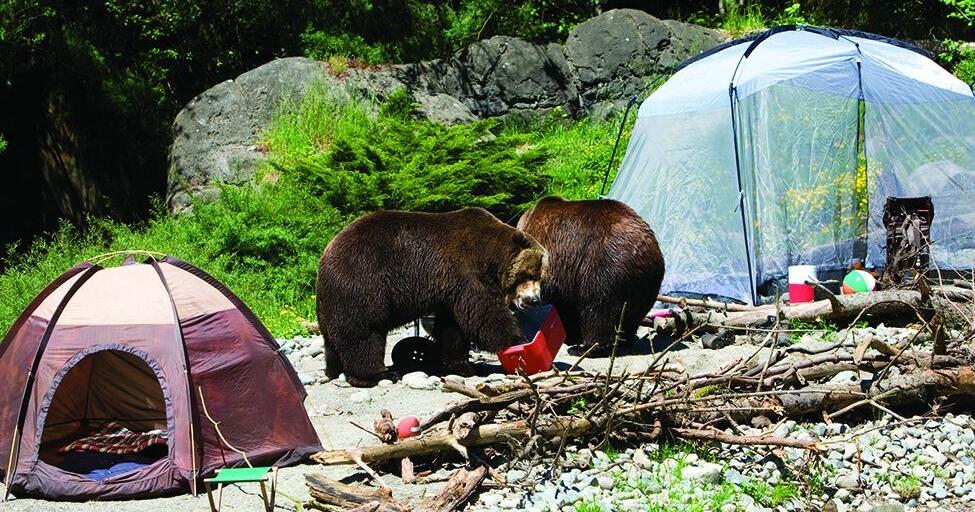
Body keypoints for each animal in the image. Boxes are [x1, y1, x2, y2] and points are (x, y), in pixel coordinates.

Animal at [316, 207, 548, 387]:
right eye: (530, 274)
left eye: (540, 277)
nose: (534, 300)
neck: (490, 255)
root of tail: (325, 255)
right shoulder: (466, 271)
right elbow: (484, 314)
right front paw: (519, 339)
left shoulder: (450, 290)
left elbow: (452, 327)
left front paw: (464, 365)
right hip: (363, 283)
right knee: (365, 333)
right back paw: (378, 374)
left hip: (332, 301)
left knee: (334, 339)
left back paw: (333, 370)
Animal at [517, 196, 664, 354]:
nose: (523, 303)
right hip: (648, 285)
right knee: (631, 317)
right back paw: (623, 340)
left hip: (605, 264)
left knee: (598, 307)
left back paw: (585, 348)